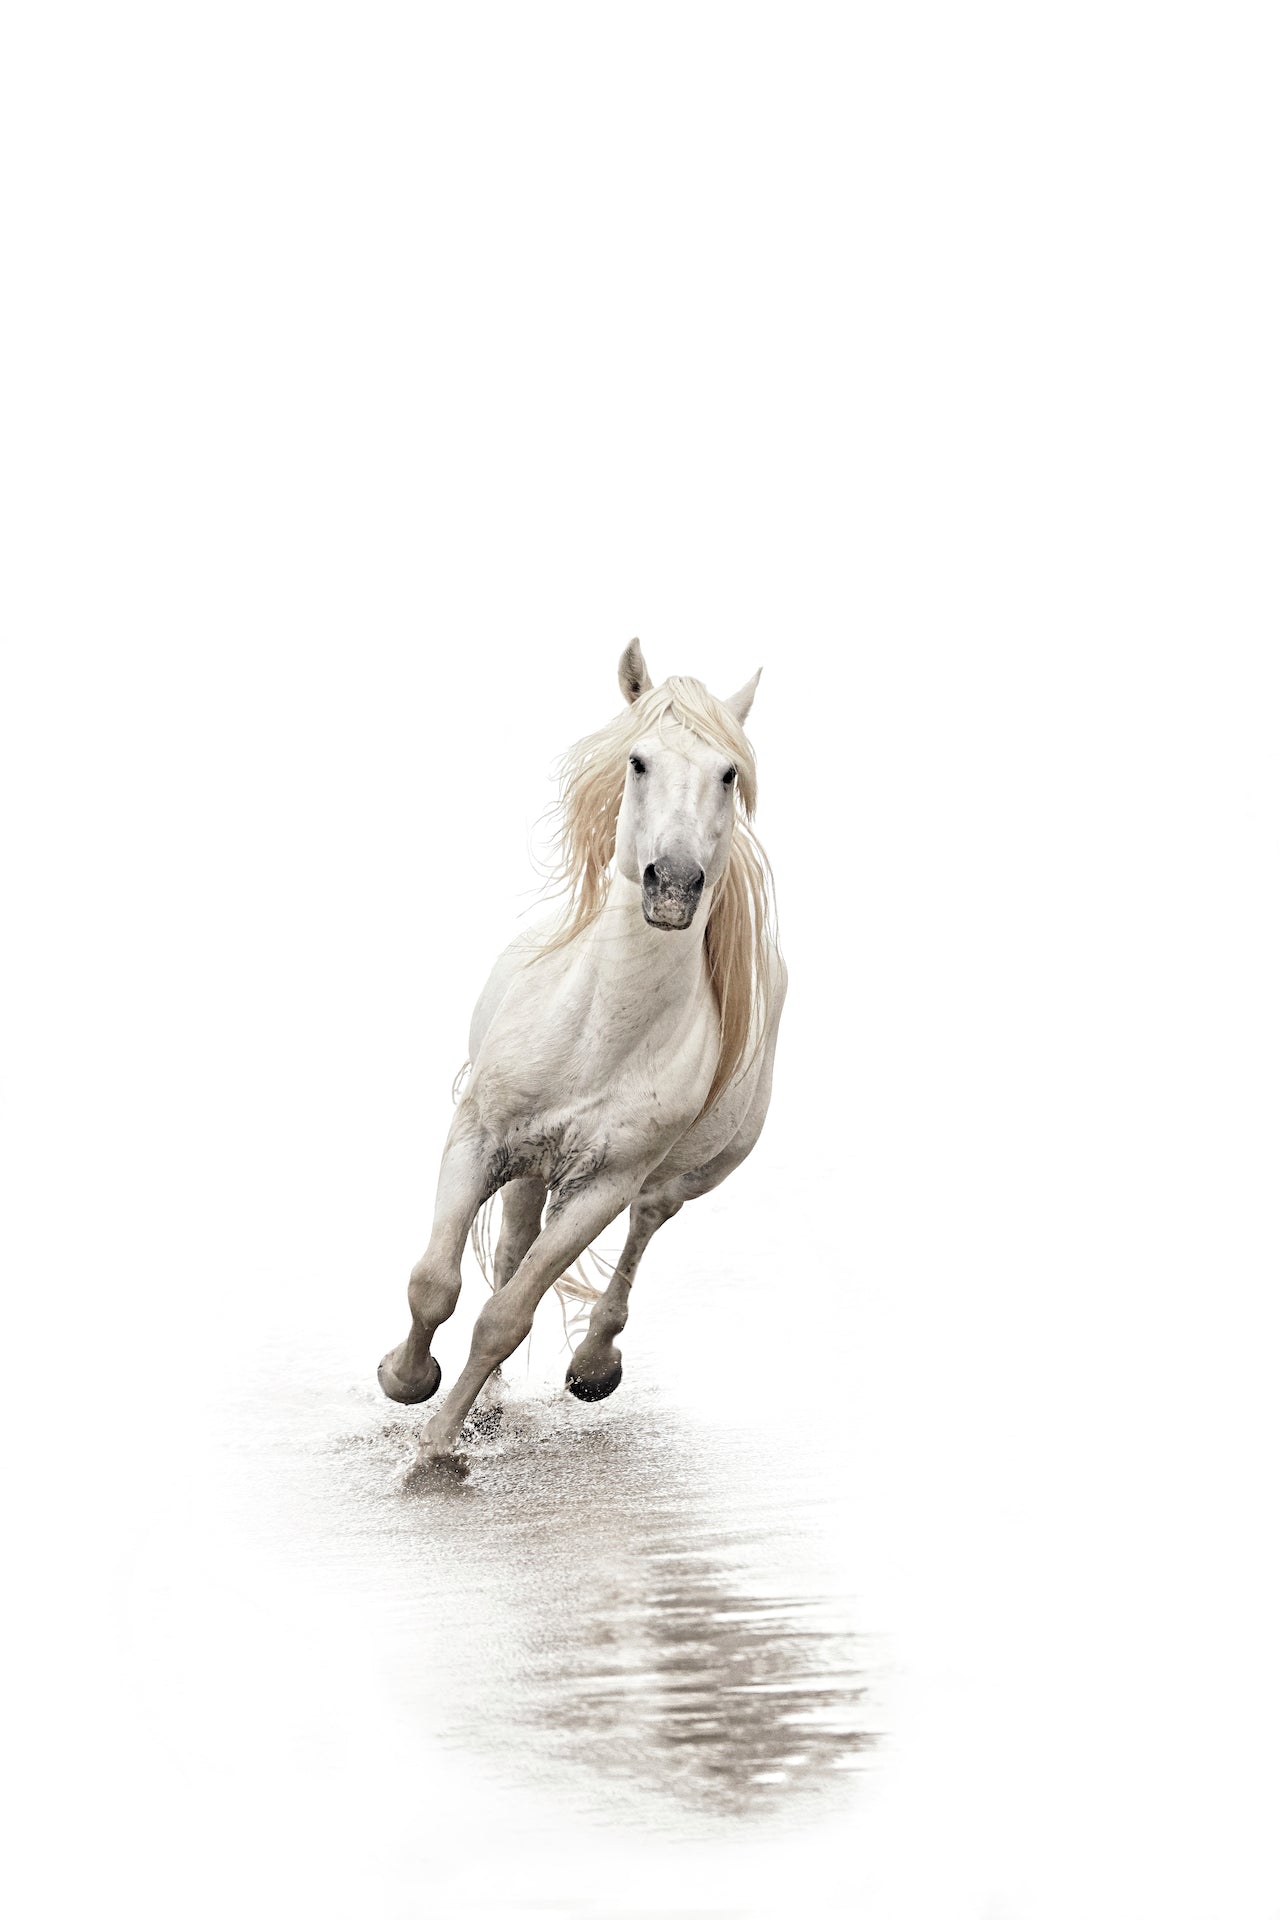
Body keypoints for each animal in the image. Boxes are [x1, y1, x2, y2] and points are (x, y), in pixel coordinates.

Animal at [378, 640, 786, 1462]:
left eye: (729, 772)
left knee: (640, 1234)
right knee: (507, 1253)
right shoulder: (477, 1138)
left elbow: (506, 1316)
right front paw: (405, 1379)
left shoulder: (602, 1189)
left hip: (674, 1179)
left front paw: (438, 1440)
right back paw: (493, 1404)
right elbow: (434, 1283)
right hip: (529, 1167)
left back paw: (593, 1367)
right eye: (637, 760)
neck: (601, 1035)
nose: (675, 885)